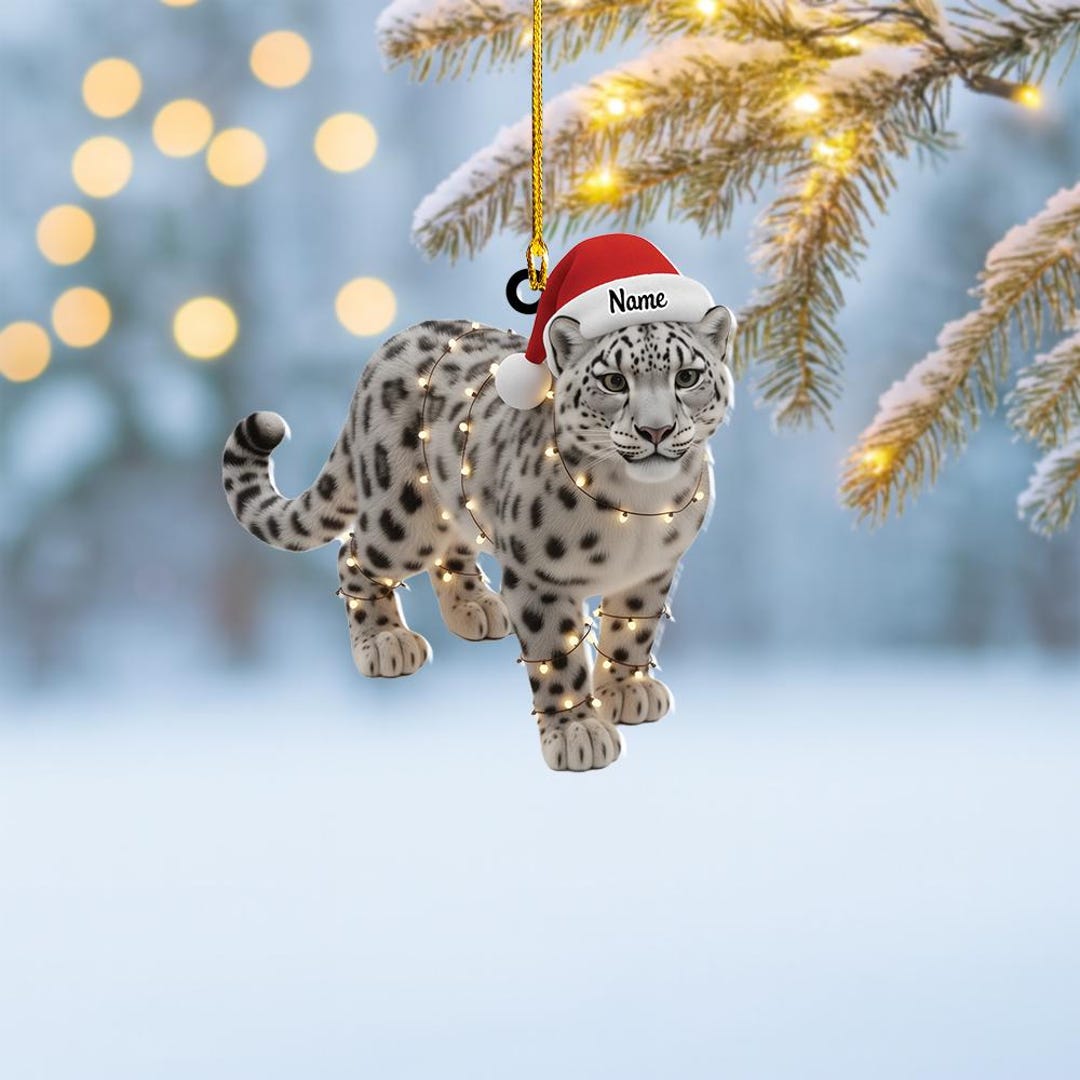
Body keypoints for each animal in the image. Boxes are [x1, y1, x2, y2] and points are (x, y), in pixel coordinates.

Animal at [222, 307, 735, 772]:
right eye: (613, 381)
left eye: (687, 376)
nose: (656, 430)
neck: (640, 507)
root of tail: (385, 349)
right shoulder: (539, 579)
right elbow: (556, 656)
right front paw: (578, 734)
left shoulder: (652, 571)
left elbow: (635, 629)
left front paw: (627, 692)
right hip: (401, 517)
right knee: (352, 554)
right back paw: (386, 641)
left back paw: (476, 608)